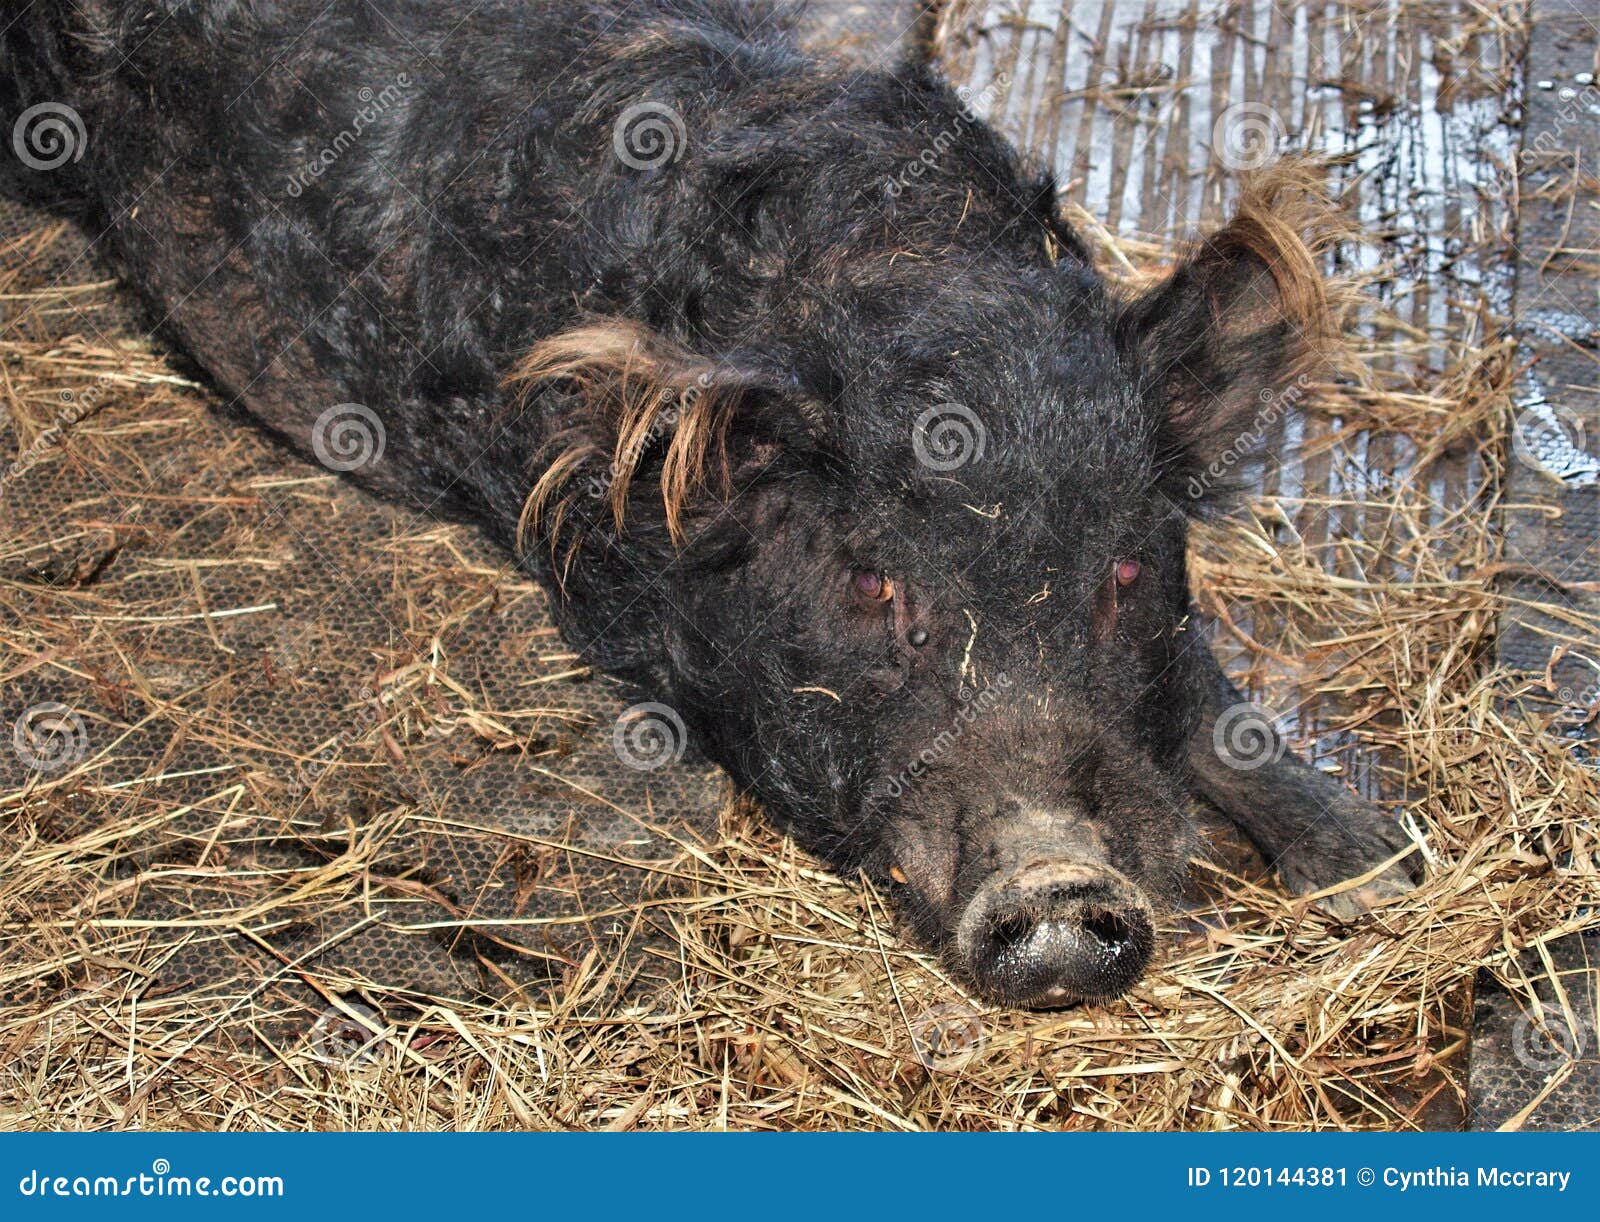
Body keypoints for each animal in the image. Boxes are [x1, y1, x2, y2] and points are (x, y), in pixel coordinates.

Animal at [0, 0, 1416, 1008]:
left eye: (1124, 569)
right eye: (871, 581)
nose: (1061, 882)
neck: (907, 270)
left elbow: (1212, 693)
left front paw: (1371, 871)